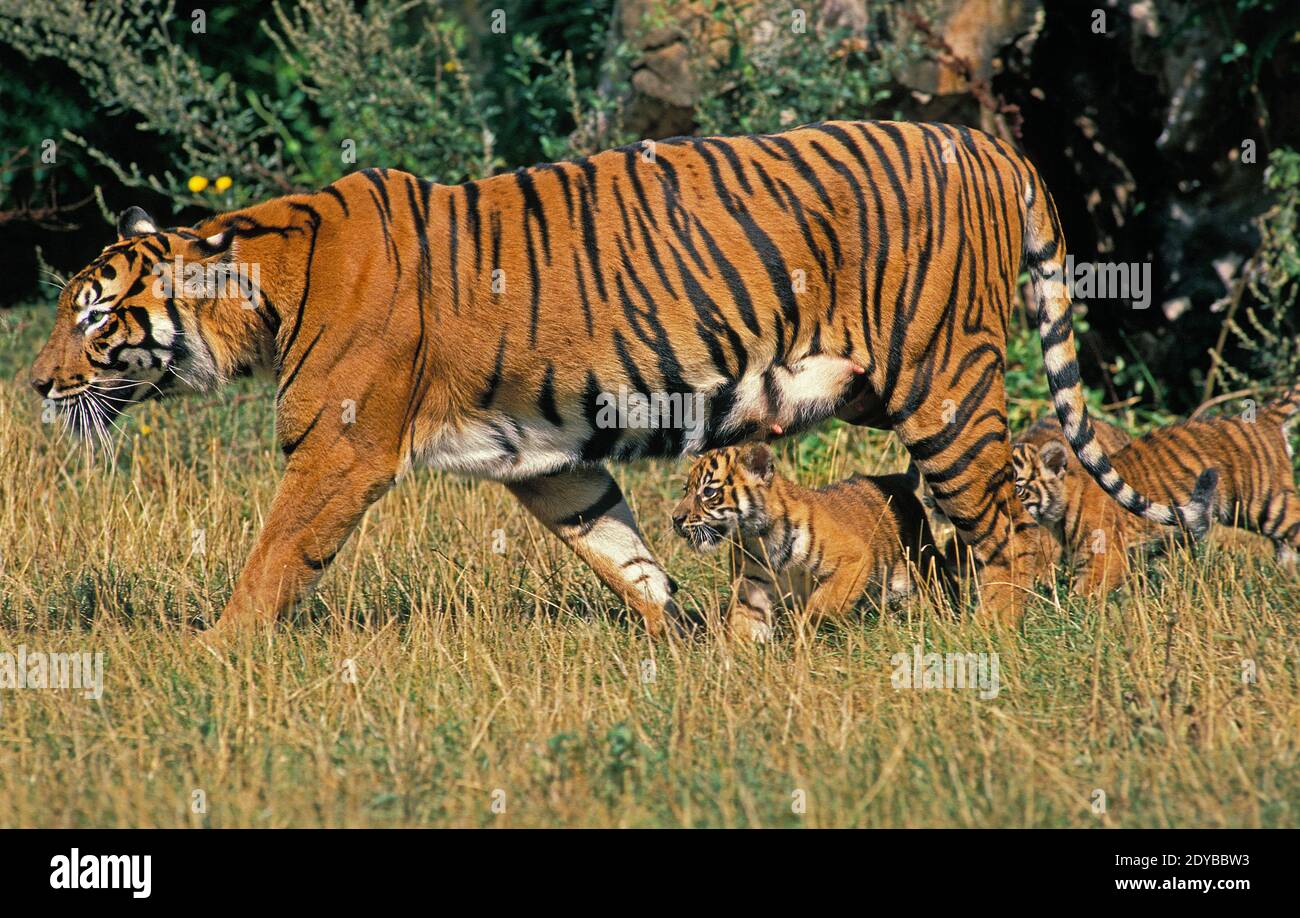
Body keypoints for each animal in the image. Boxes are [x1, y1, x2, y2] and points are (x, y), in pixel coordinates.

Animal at [672, 445, 945, 641]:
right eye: (686, 490)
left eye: (708, 492)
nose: (675, 519)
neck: (759, 536)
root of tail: (898, 478)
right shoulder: (752, 584)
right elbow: (743, 625)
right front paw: (735, 661)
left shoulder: (853, 559)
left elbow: (823, 605)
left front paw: (801, 633)